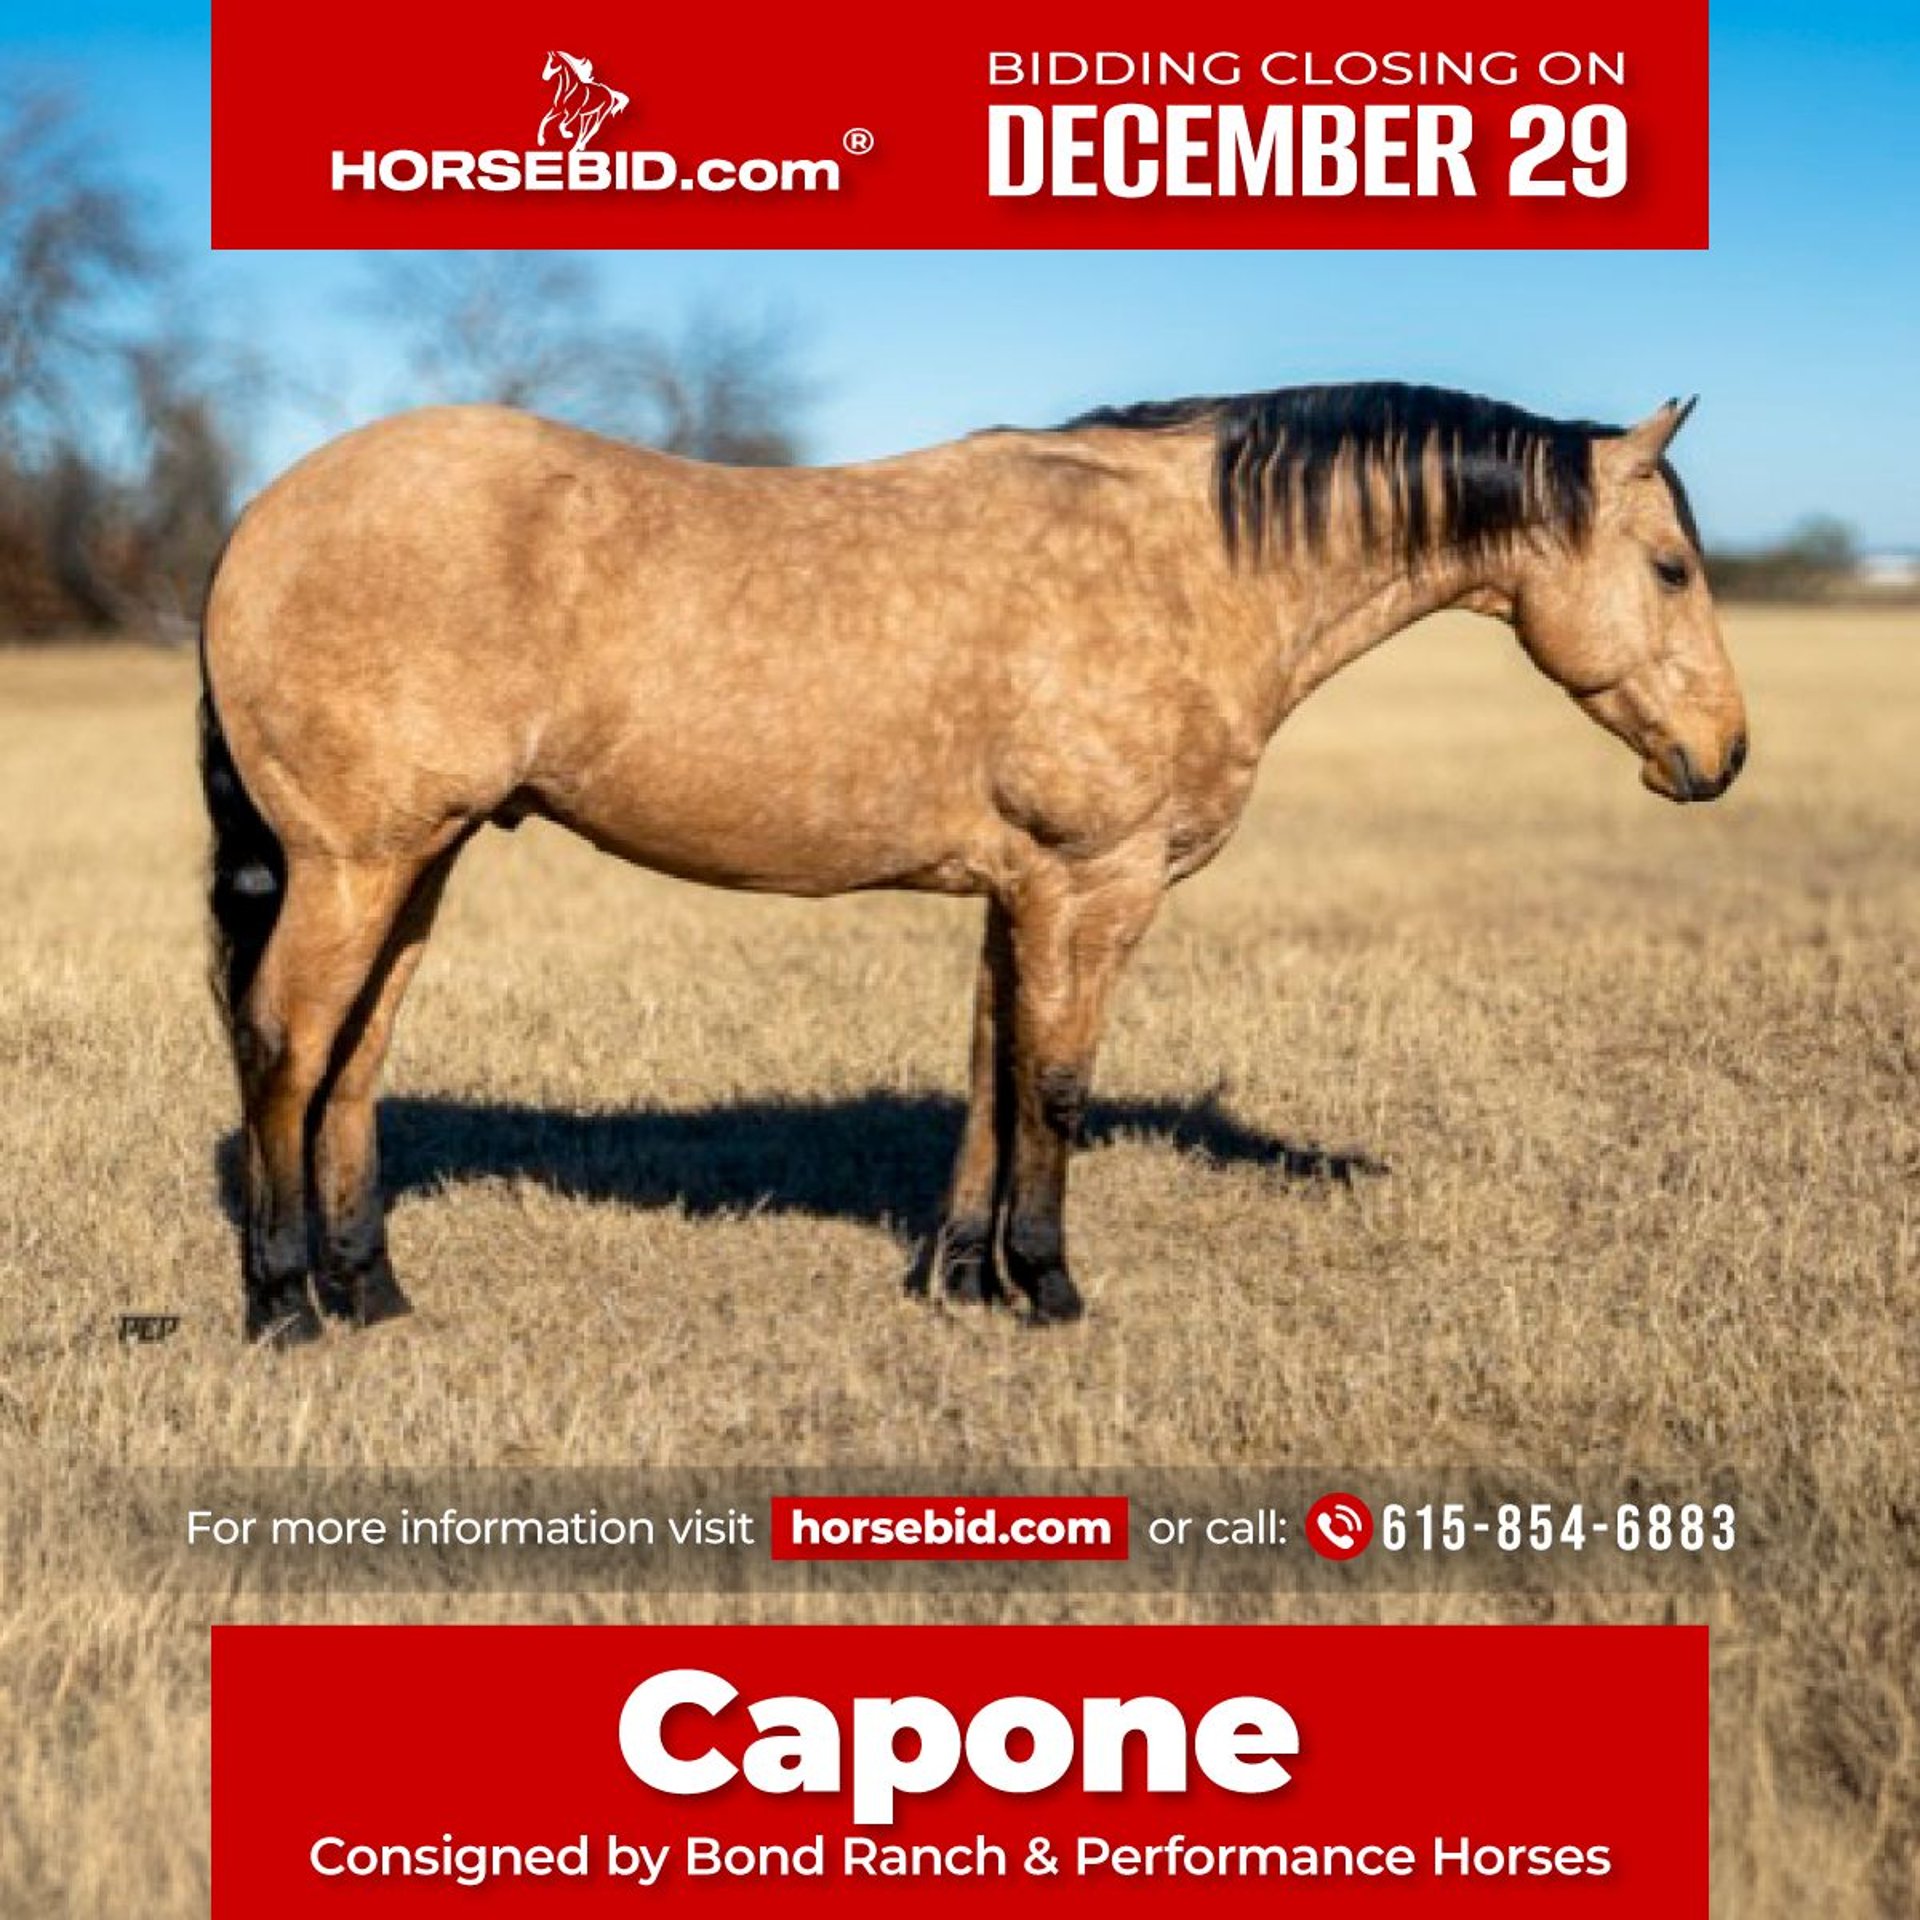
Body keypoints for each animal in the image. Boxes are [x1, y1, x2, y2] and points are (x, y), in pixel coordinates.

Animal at [198, 382, 1748, 1346]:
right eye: (1672, 568)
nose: (1723, 755)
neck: (1187, 566)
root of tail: (263, 513)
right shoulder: (1095, 881)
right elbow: (1055, 1082)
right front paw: (1049, 1288)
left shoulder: (1024, 893)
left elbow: (994, 1074)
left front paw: (961, 1279)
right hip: (354, 862)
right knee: (284, 1045)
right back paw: (281, 1307)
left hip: (419, 861)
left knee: (353, 1061)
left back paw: (371, 1294)